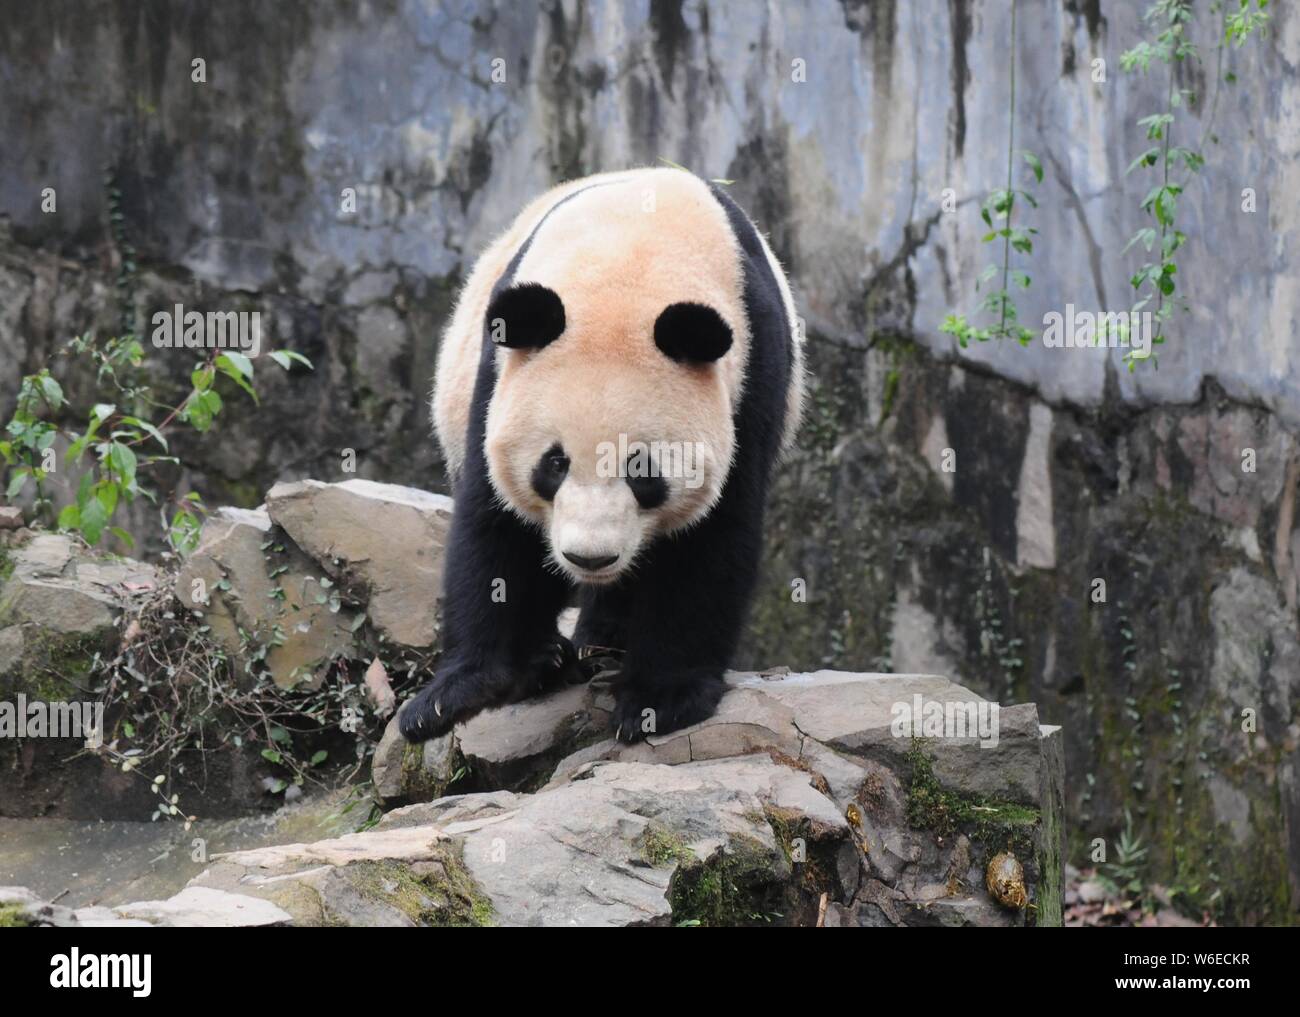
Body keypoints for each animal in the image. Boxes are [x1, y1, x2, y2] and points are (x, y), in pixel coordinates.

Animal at [401, 167, 804, 744]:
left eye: (641, 469)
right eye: (554, 464)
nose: (589, 558)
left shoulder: (751, 377)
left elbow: (710, 538)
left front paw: (660, 700)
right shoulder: (497, 376)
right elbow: (494, 525)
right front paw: (456, 692)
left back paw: (603, 640)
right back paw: (558, 655)